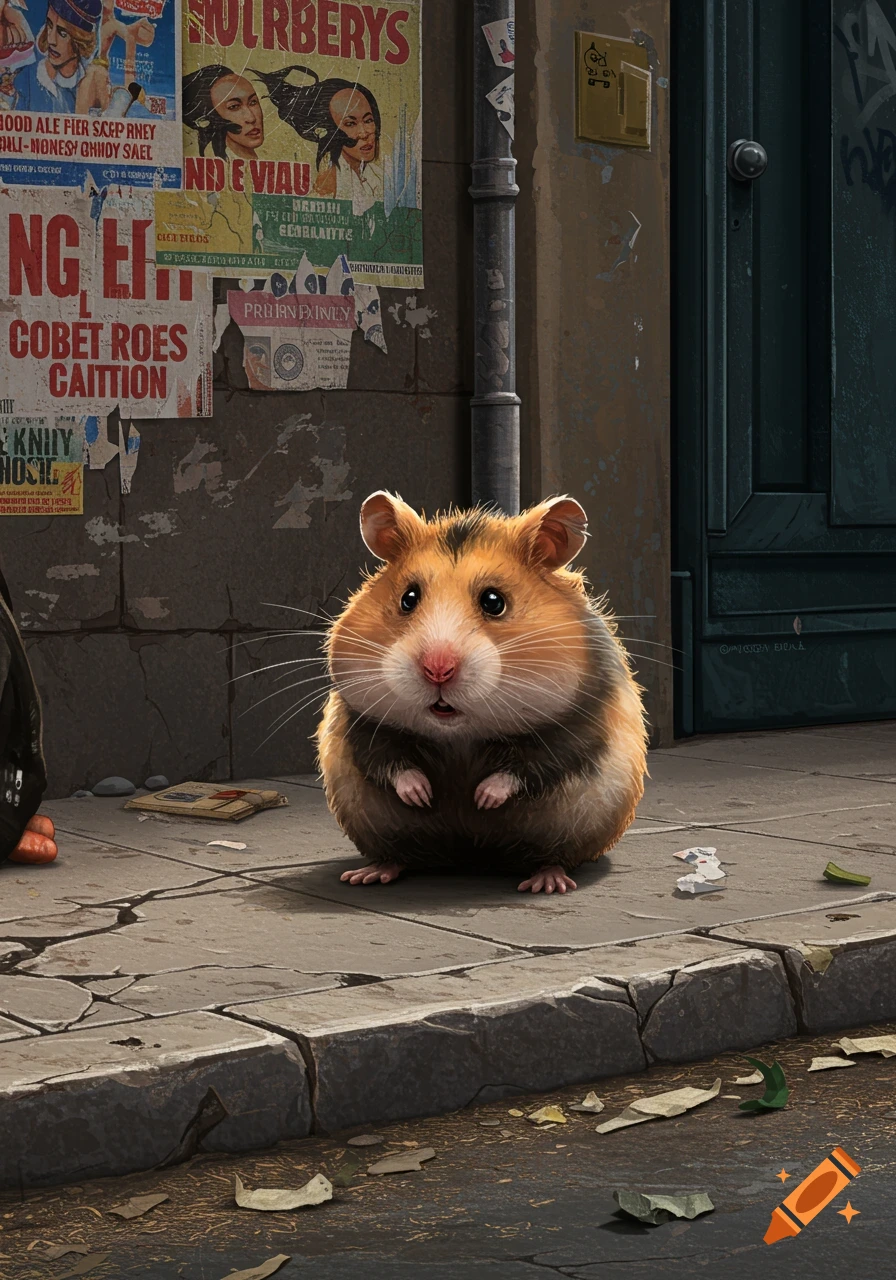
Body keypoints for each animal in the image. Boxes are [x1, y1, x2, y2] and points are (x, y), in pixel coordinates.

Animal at [316, 491, 648, 893]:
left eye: (494, 601)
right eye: (408, 598)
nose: (437, 669)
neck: (459, 736)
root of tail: (469, 860)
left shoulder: (584, 719)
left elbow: (540, 759)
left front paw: (482, 800)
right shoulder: (358, 717)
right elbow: (385, 756)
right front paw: (423, 795)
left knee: (554, 855)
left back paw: (546, 882)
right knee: (398, 854)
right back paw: (368, 874)